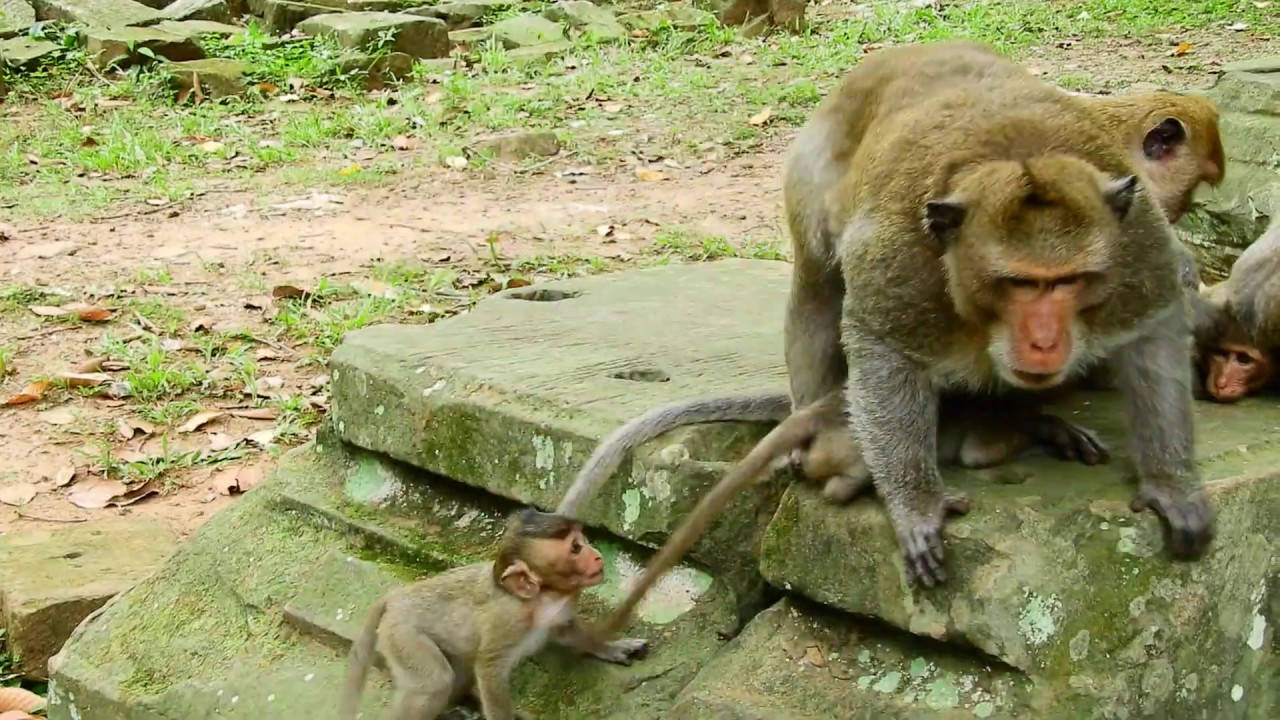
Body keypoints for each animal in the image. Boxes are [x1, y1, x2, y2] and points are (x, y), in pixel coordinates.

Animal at [338, 508, 648, 720]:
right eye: (575, 547)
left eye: (582, 539)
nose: (596, 555)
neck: (539, 600)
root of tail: (394, 598)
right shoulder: (508, 622)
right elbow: (489, 670)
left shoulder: (560, 608)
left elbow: (568, 633)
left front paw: (611, 647)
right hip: (402, 635)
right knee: (435, 683)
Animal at [779, 39, 1213, 587]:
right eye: (1020, 283)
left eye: (1068, 280)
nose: (1045, 340)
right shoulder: (902, 263)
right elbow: (880, 343)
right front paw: (917, 503)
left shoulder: (1135, 241)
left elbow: (1153, 326)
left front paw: (1169, 482)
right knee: (816, 288)